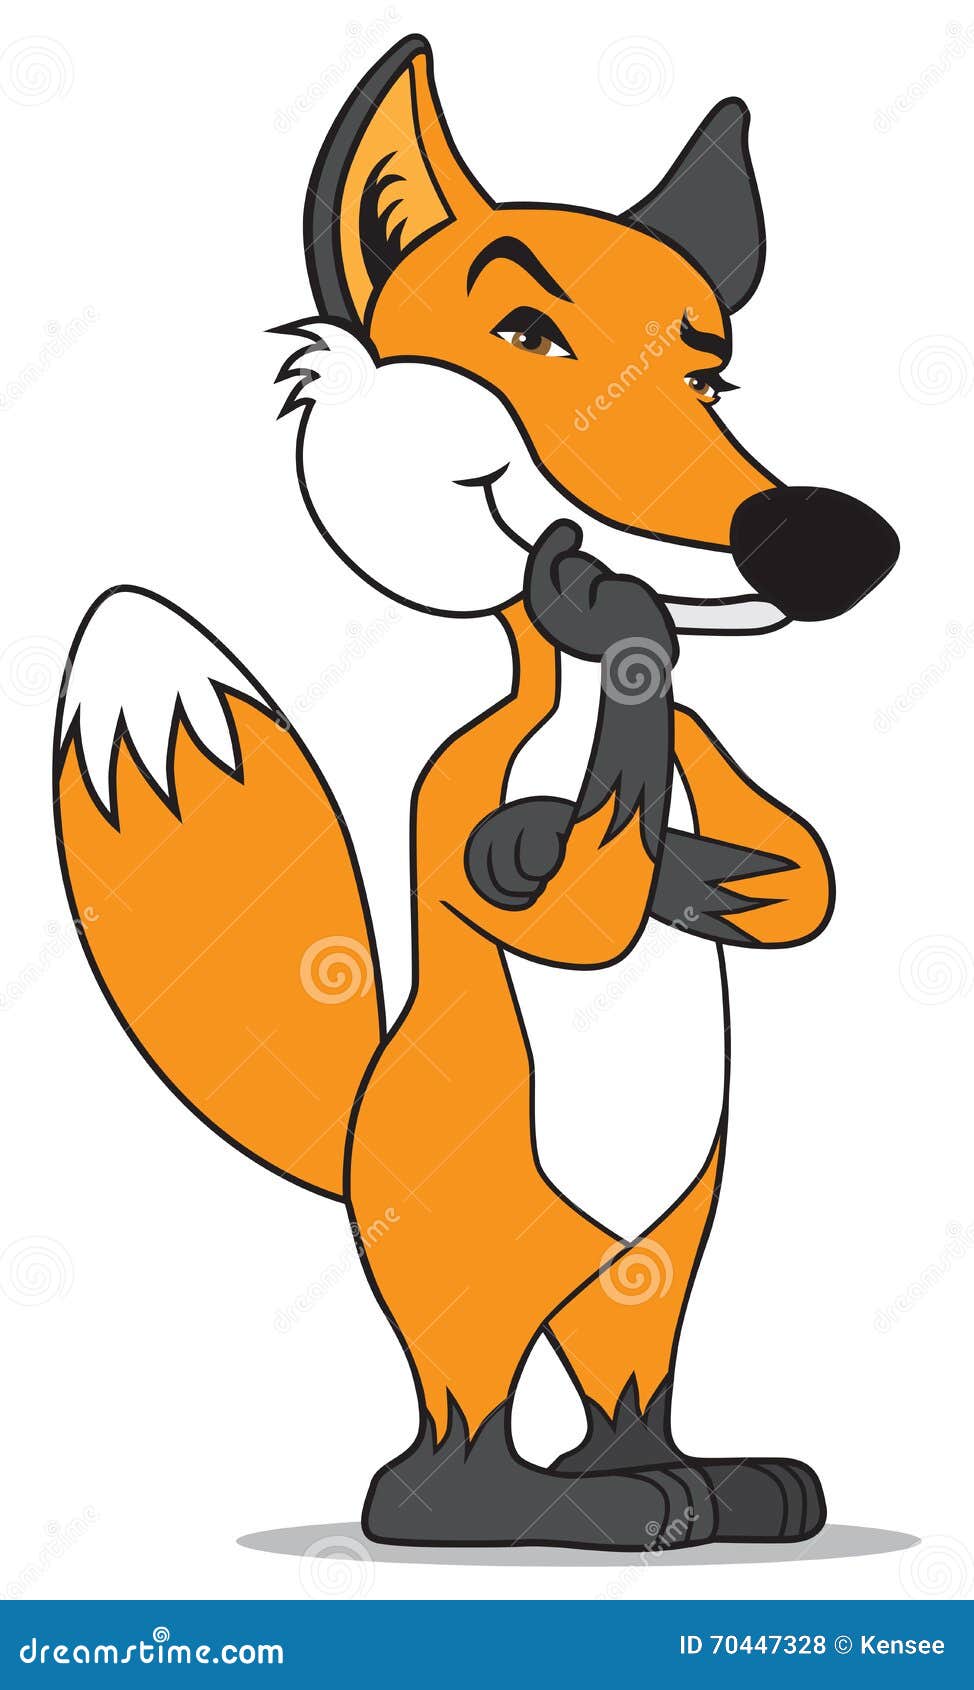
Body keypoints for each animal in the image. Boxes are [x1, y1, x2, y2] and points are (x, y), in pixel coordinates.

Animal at [53, 35, 898, 1550]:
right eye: (527, 336)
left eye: (712, 382)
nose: (825, 542)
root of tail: (348, 1154)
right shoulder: (451, 788)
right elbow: (561, 895)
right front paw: (599, 804)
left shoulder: (719, 763)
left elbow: (795, 878)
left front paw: (697, 866)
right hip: (478, 1259)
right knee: (437, 1468)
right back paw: (560, 1506)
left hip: (654, 1258)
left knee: (627, 1388)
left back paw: (697, 1483)